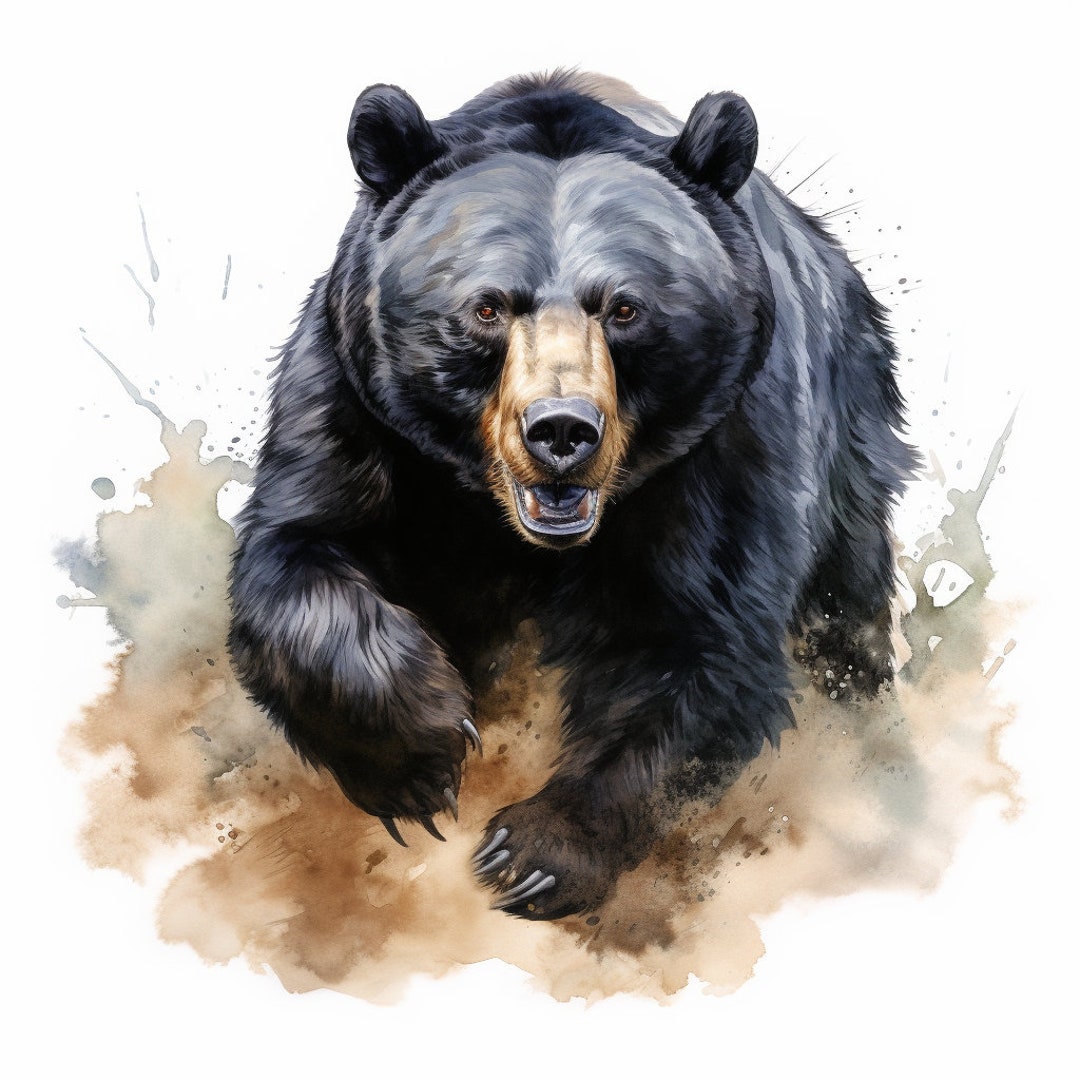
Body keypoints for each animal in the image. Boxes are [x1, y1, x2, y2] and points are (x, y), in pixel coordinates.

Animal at [228, 70, 916, 920]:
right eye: (488, 307)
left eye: (624, 308)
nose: (561, 430)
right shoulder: (359, 412)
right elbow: (299, 553)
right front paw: (421, 754)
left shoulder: (718, 447)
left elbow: (696, 638)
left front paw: (533, 851)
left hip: (851, 442)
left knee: (844, 620)